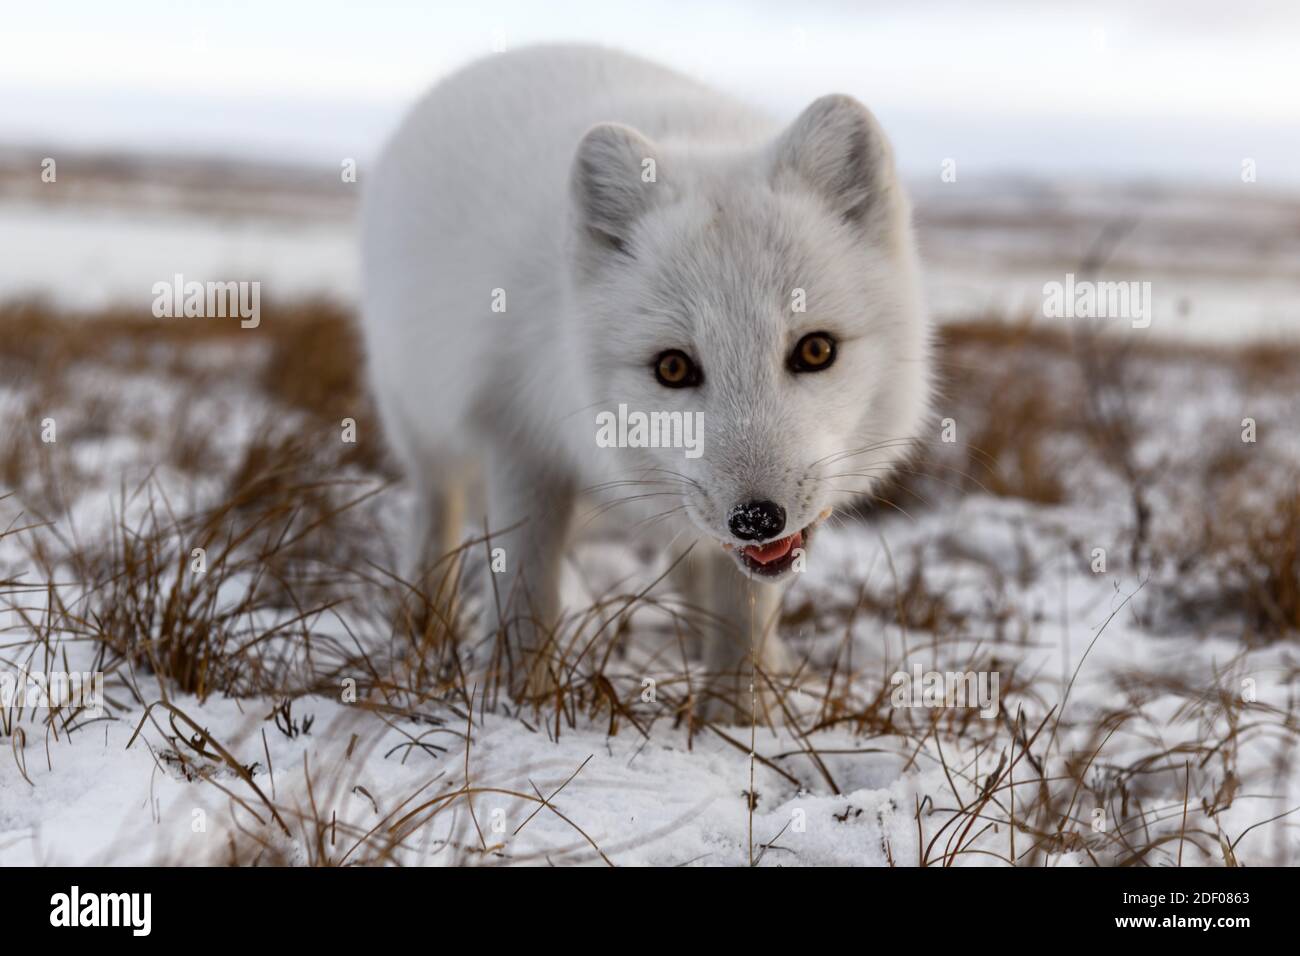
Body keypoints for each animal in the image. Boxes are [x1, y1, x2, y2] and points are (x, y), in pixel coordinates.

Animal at [360, 44, 931, 719]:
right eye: (673, 367)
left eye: (815, 350)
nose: (756, 519)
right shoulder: (518, 439)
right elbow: (528, 592)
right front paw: (521, 701)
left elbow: (742, 616)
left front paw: (735, 718)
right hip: (422, 434)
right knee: (435, 520)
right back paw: (423, 626)